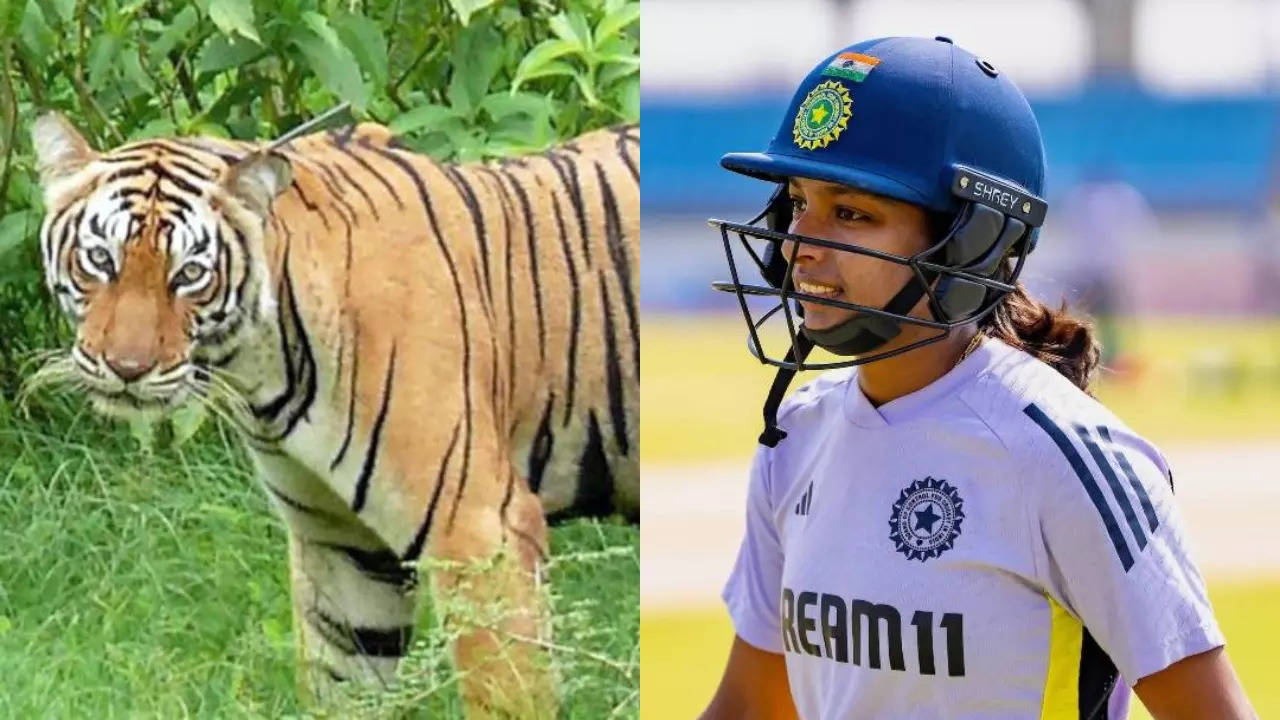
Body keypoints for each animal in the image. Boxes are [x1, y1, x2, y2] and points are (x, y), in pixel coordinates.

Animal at [29, 111, 639, 717]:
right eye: (100, 260)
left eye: (190, 274)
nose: (126, 368)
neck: (264, 369)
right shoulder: (341, 544)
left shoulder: (478, 528)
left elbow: (507, 687)